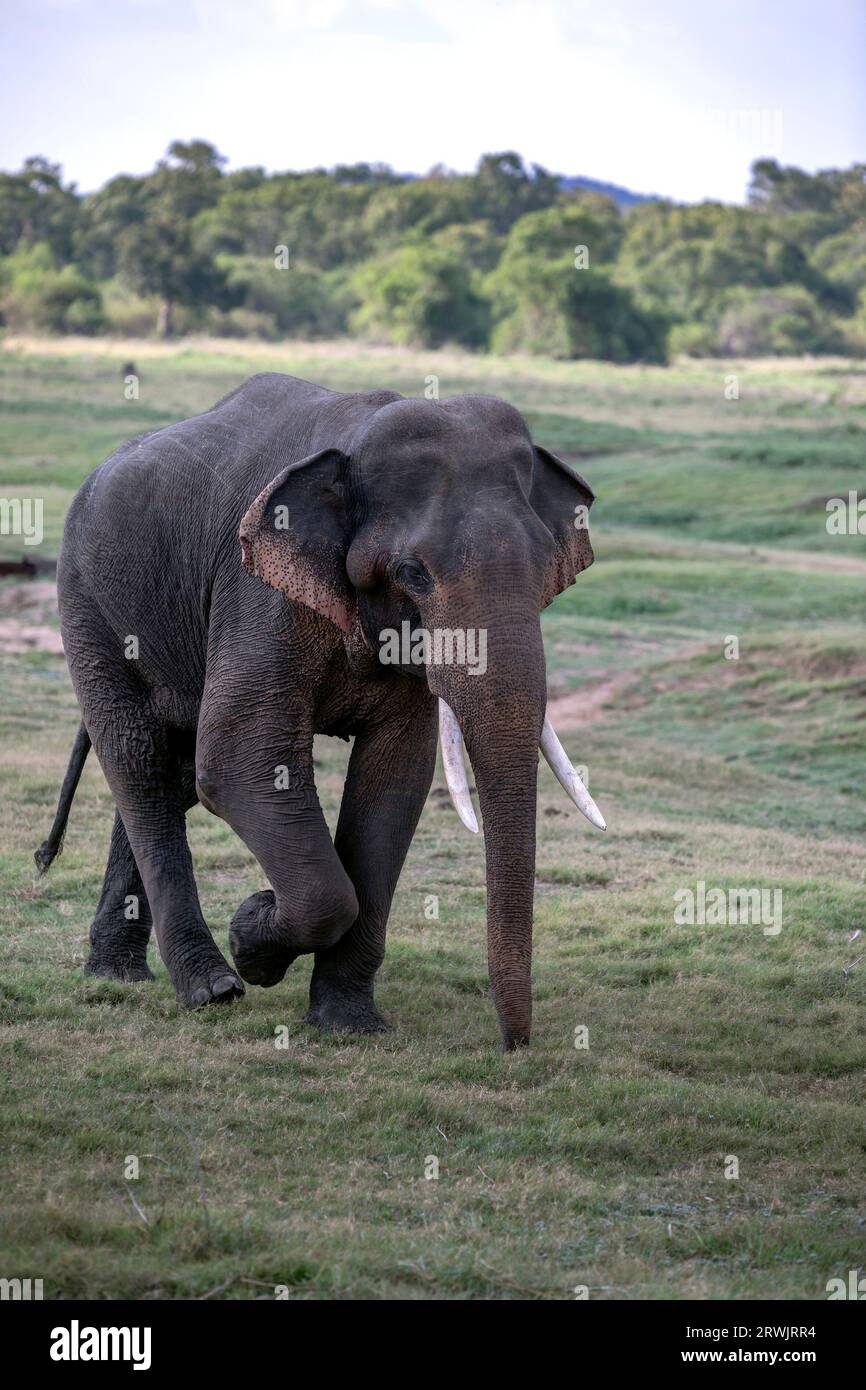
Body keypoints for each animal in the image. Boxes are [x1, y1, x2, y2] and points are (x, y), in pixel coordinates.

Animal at [36, 373, 604, 1049]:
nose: (515, 1046)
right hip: (87, 604)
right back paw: (211, 989)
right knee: (139, 761)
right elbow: (239, 762)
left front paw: (348, 1023)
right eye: (411, 572)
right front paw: (253, 934)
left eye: (546, 567)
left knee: (167, 775)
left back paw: (120, 976)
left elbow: (394, 782)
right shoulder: (257, 591)